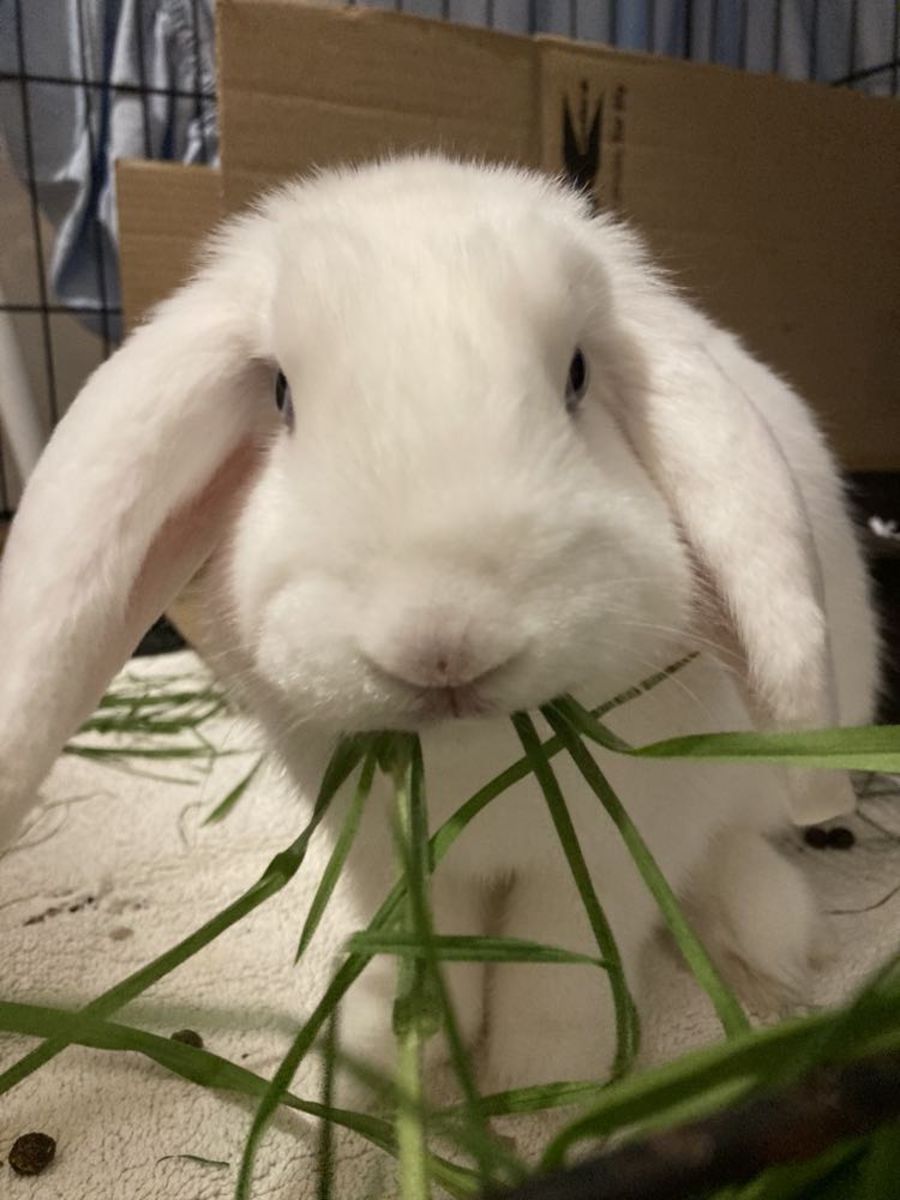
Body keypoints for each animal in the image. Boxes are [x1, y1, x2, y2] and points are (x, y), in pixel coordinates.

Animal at [0, 155, 878, 1091]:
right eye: (281, 394)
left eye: (577, 375)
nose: (443, 646)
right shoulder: (391, 861)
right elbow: (427, 951)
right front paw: (386, 1057)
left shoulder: (611, 849)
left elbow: (568, 952)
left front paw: (547, 1076)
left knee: (734, 847)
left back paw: (769, 943)